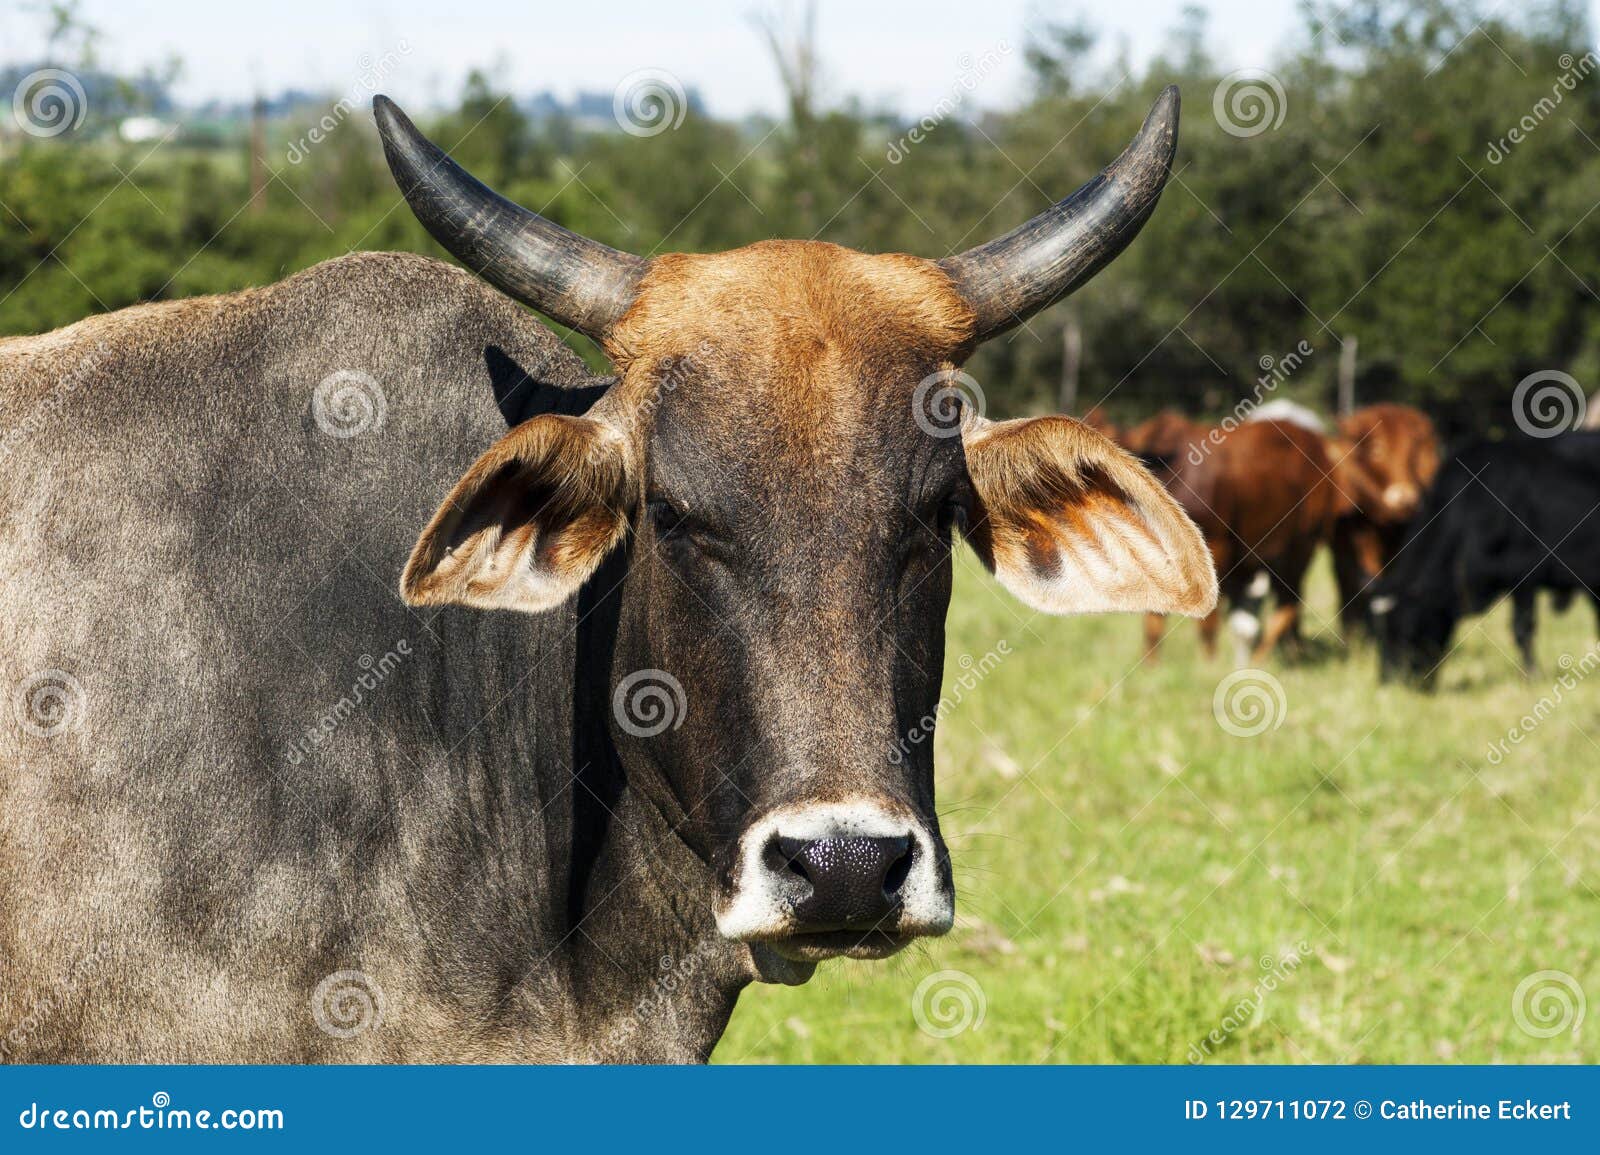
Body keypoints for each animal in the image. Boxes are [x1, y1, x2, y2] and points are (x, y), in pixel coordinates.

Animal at [1130, 416, 1340, 663]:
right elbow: (1153, 620)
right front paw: (1151, 665)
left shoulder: (1216, 545)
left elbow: (1208, 620)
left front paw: (1208, 662)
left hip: (1301, 545)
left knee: (1287, 604)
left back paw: (1261, 659)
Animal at [1372, 432, 1600, 686]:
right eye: (1377, 635)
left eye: (1406, 630)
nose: (1389, 683)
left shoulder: (1524, 574)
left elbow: (1523, 628)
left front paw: (1532, 675)